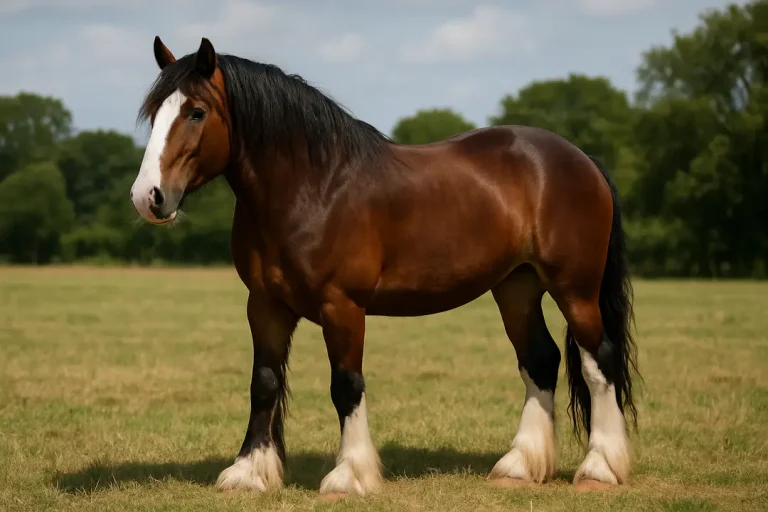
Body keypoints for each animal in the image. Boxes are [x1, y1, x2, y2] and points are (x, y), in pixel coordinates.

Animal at [130, 36, 640, 496]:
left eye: (196, 112)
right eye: (154, 113)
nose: (148, 196)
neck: (313, 187)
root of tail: (581, 159)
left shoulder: (342, 306)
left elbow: (346, 386)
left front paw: (349, 477)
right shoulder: (265, 305)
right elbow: (264, 383)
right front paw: (249, 474)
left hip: (575, 289)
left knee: (599, 362)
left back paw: (600, 469)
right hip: (517, 288)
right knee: (541, 360)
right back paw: (519, 465)